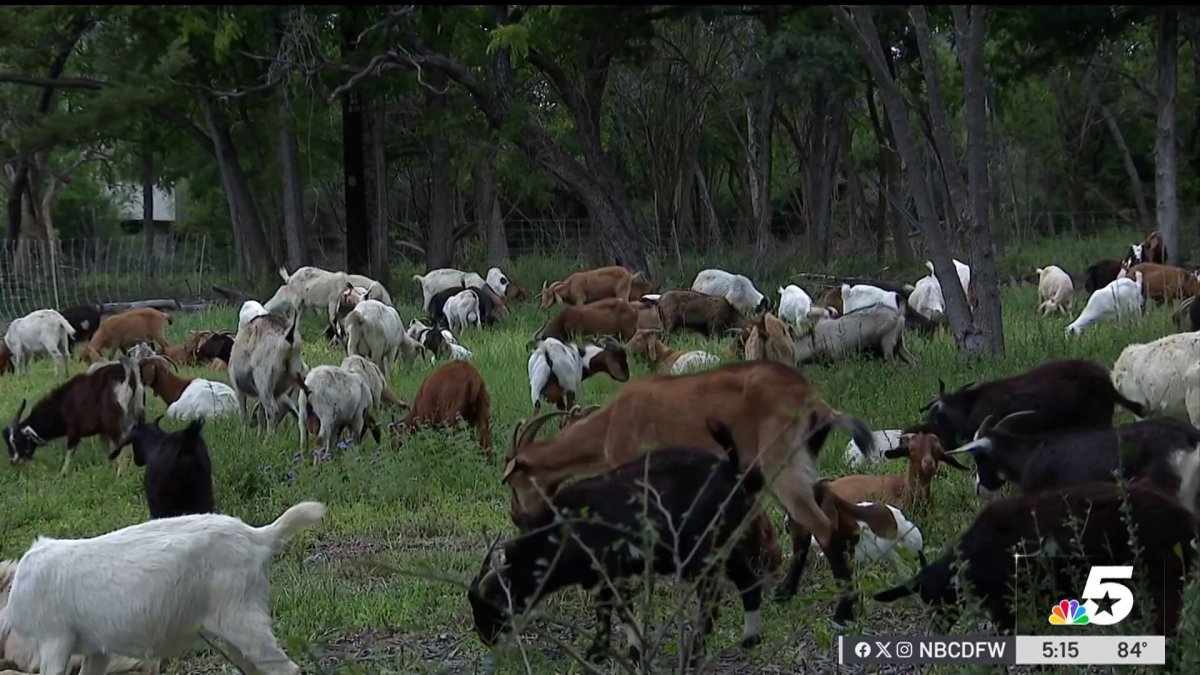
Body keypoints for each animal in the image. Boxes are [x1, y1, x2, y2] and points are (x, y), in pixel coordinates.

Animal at [4, 357, 142, 476]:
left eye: (19, 440)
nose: (12, 460)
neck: (62, 404)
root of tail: (127, 375)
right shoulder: (102, 431)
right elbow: (107, 451)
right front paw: (106, 469)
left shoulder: (74, 430)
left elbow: (70, 453)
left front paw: (62, 474)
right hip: (137, 412)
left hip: (114, 422)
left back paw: (121, 474)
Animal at [469, 419, 768, 666]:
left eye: (489, 605)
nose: (486, 639)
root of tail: (733, 472)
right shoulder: (597, 578)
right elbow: (604, 612)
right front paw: (599, 653)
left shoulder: (611, 570)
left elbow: (622, 612)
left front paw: (629, 655)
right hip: (729, 543)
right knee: (749, 583)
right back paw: (750, 641)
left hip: (702, 550)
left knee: (710, 602)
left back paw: (694, 657)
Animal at [503, 360, 879, 622]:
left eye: (513, 481)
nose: (518, 517)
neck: (610, 423)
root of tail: (817, 402)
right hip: (793, 466)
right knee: (804, 523)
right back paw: (786, 593)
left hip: (780, 463)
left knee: (821, 526)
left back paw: (844, 610)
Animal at [874, 482, 1195, 637]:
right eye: (924, 600)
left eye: (936, 601)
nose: (936, 633)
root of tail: (1187, 519)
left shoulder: (1009, 602)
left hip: (1159, 579)